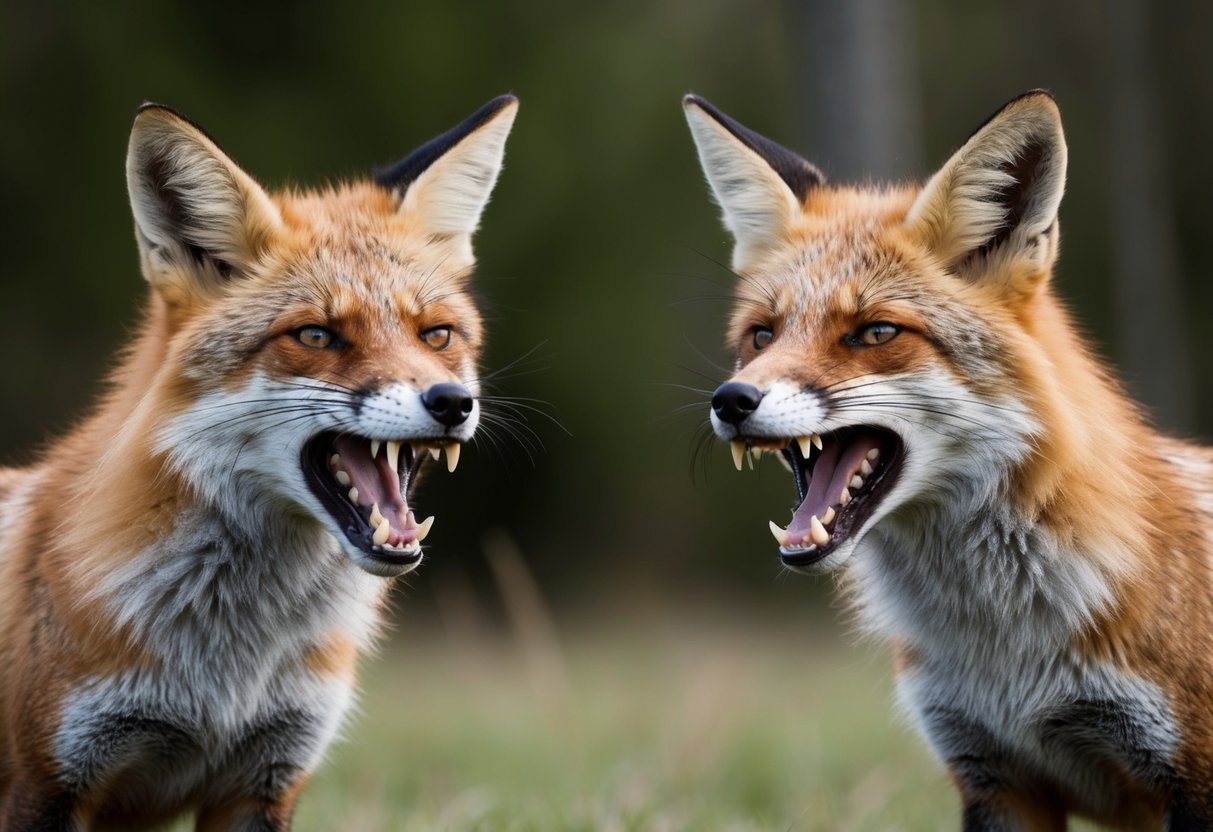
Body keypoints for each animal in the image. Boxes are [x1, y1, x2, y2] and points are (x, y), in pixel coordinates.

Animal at [0, 94, 518, 830]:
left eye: (437, 335)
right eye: (316, 335)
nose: (452, 402)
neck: (231, 674)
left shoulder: (264, 777)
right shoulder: (50, 780)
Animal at [683, 90, 1213, 830]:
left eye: (875, 332)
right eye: (761, 335)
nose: (731, 400)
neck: (1002, 656)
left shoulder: (1186, 776)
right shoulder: (993, 773)